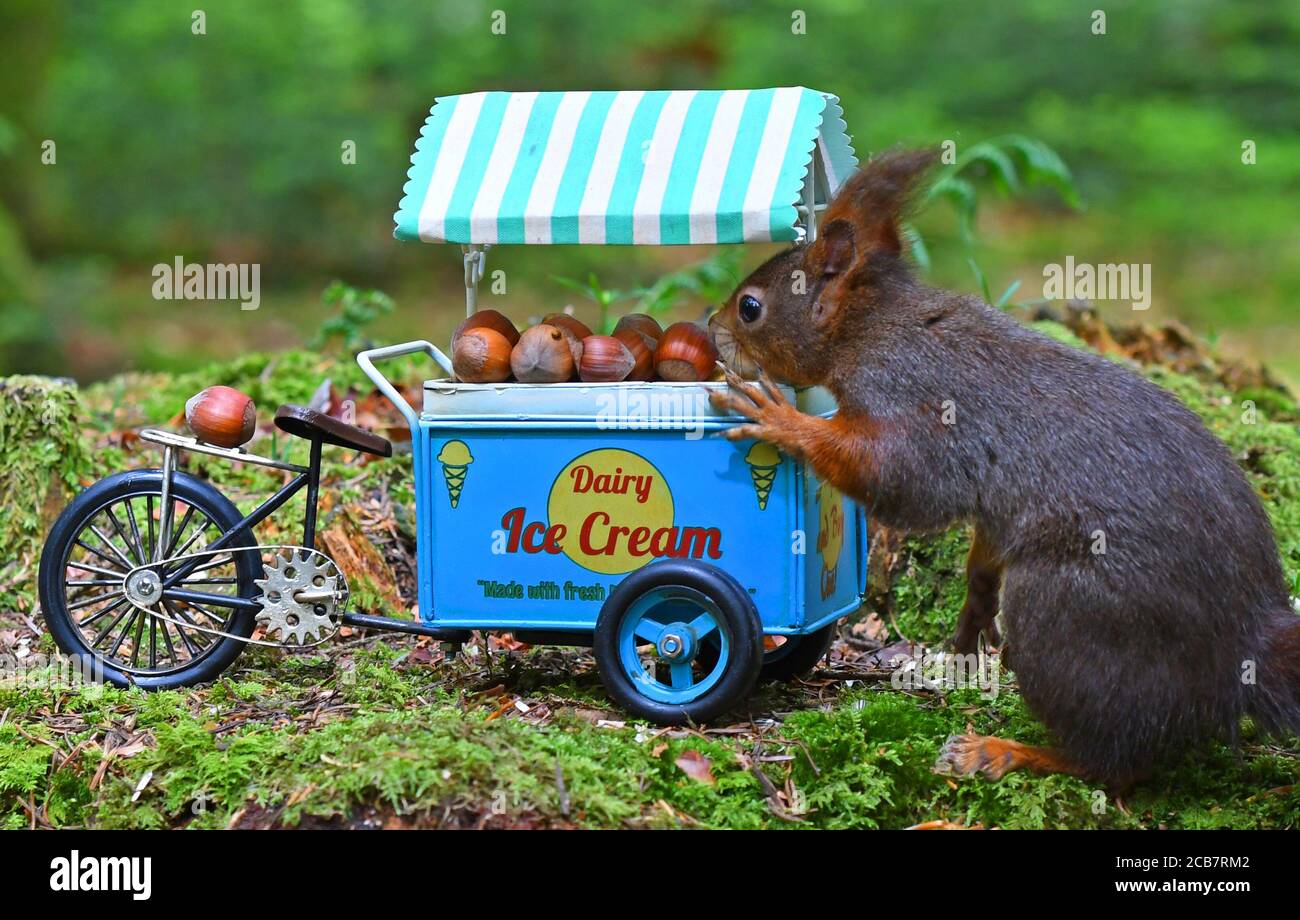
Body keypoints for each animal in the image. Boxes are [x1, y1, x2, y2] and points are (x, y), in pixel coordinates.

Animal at [708, 148, 1300, 788]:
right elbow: (983, 547)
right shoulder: (994, 502)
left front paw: (779, 418)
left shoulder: (918, 403)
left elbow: (900, 478)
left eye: (750, 308)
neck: (873, 329)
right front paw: (972, 616)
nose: (712, 328)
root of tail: (1242, 643)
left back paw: (1005, 752)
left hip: (1069, 608)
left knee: (1113, 760)